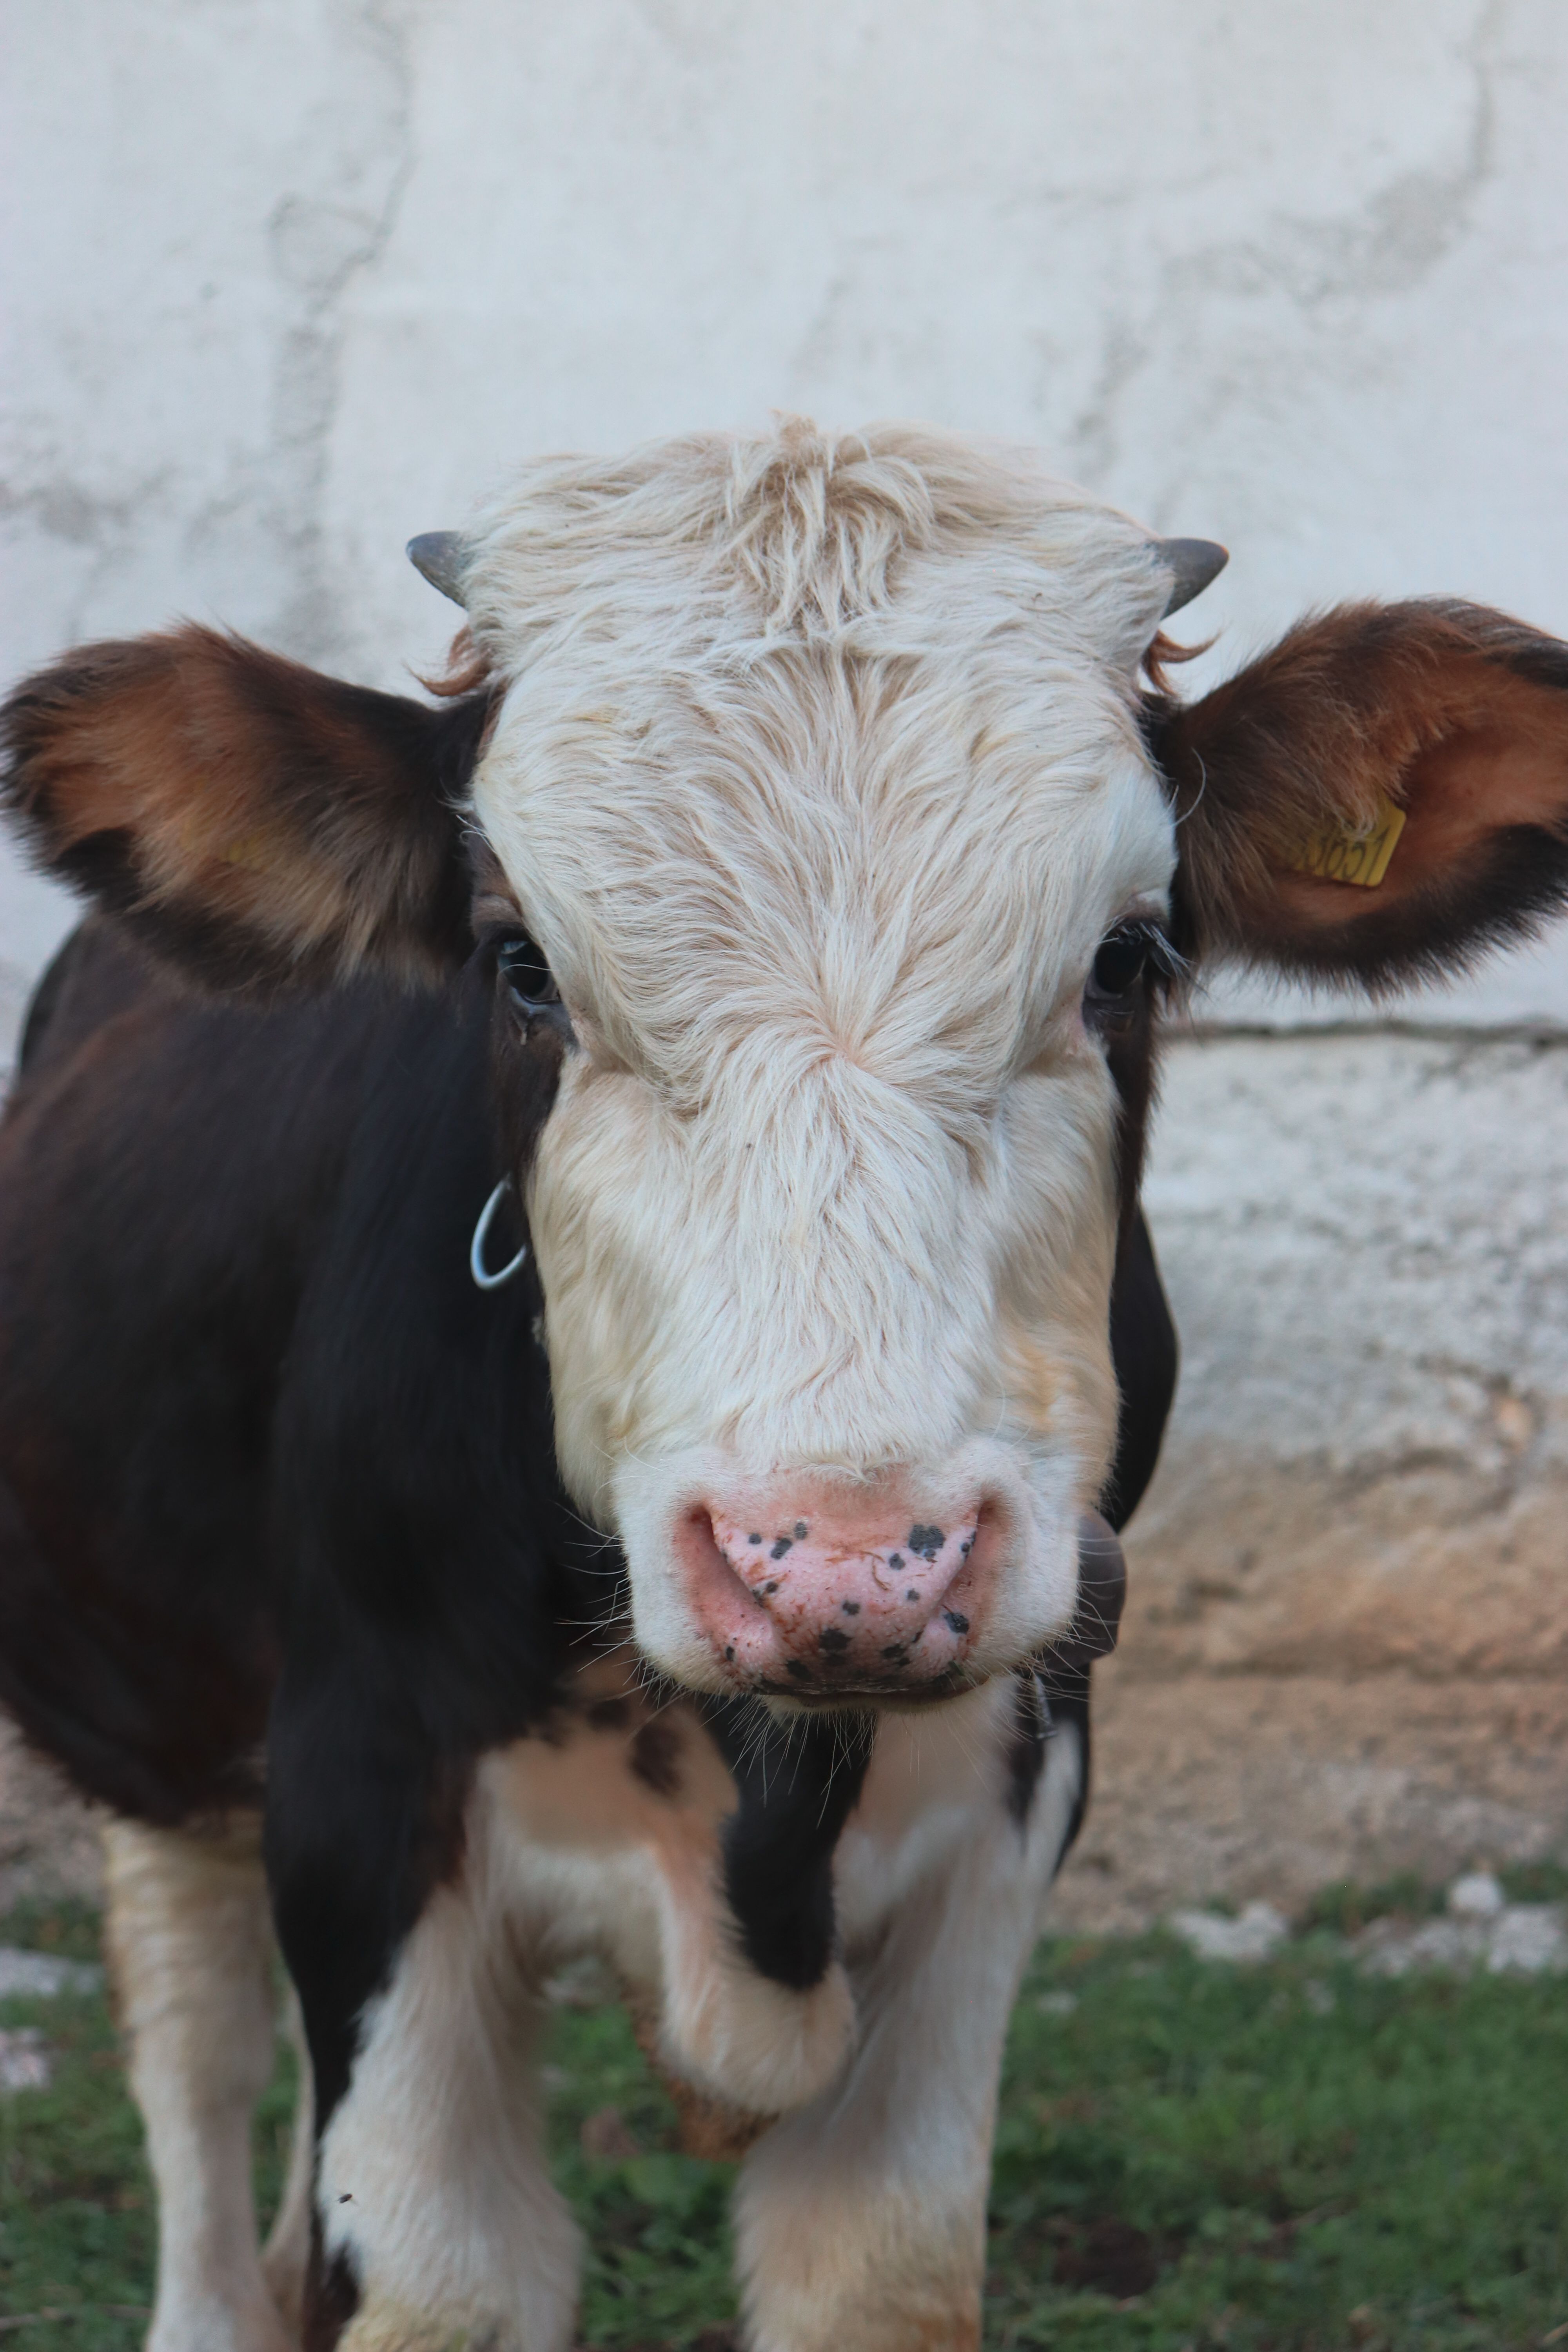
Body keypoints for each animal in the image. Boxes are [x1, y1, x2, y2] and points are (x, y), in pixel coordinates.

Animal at [1, 420, 1566, 2352]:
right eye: (517, 962)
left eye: (1125, 956)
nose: (843, 1564)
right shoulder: (361, 1786)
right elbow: (442, 2270)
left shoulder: (1013, 1792)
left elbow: (878, 2255)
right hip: (163, 1735)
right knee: (198, 2052)